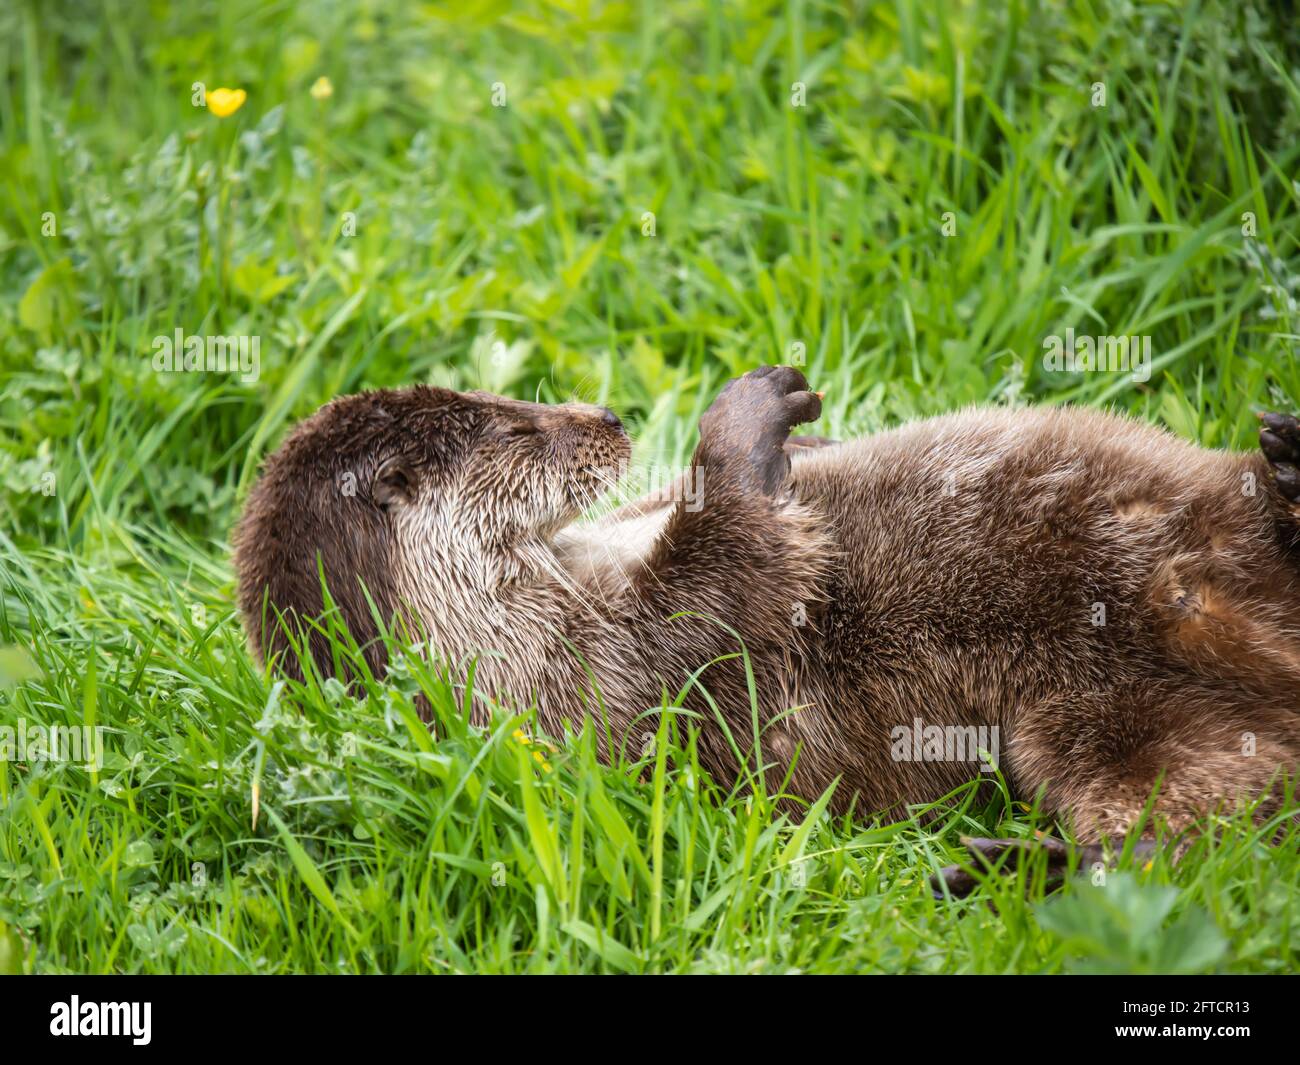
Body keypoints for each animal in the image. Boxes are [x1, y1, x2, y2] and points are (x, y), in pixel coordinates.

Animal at [233, 367, 1300, 890]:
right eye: (524, 429)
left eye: (507, 398)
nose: (607, 415)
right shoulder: (583, 698)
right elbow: (711, 599)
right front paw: (742, 424)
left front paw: (801, 436)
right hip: (1106, 724)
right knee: (1193, 836)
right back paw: (1016, 868)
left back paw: (1287, 469)